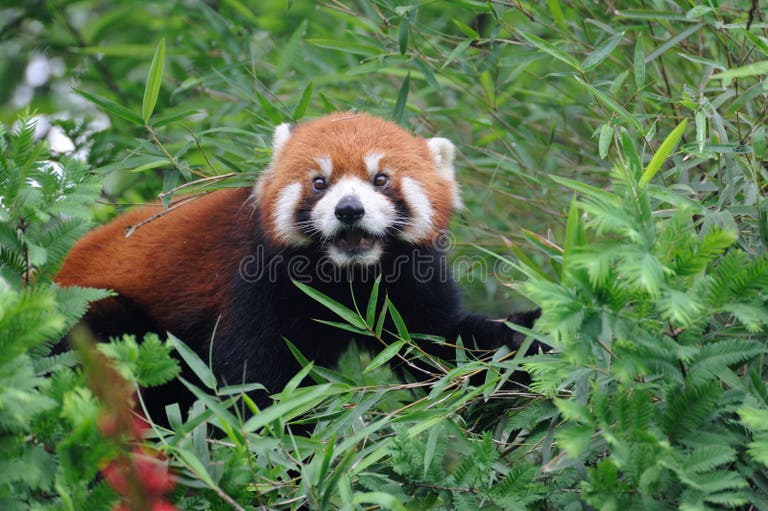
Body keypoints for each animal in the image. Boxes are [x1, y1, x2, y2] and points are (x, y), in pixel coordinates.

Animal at [56, 112, 542, 418]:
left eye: (380, 179)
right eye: (320, 182)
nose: (349, 209)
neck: (346, 278)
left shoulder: (406, 283)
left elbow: (439, 345)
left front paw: (530, 336)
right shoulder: (255, 285)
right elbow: (255, 386)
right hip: (96, 313)